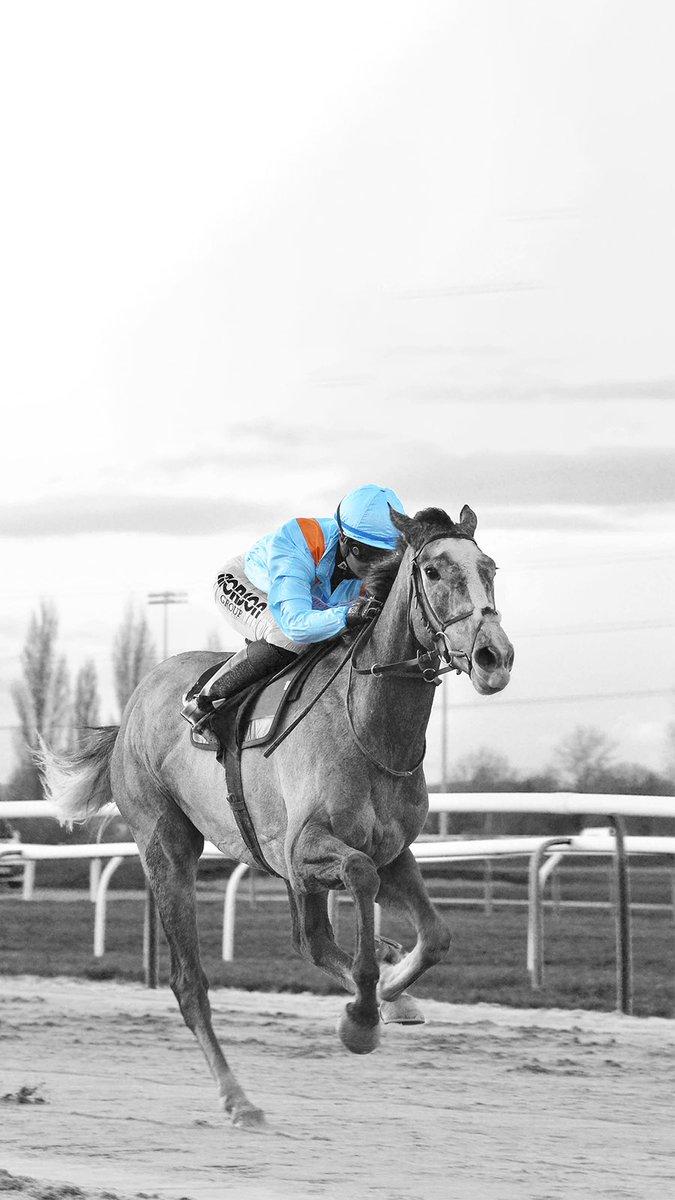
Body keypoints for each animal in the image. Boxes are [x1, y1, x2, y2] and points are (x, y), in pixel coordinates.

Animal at [39, 504, 513, 1130]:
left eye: (489, 568)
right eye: (433, 570)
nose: (494, 657)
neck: (369, 725)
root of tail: (133, 710)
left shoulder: (393, 851)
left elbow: (434, 935)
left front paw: (392, 984)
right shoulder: (304, 847)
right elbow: (357, 878)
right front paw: (364, 1015)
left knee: (310, 939)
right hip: (166, 844)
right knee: (190, 982)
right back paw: (238, 1098)